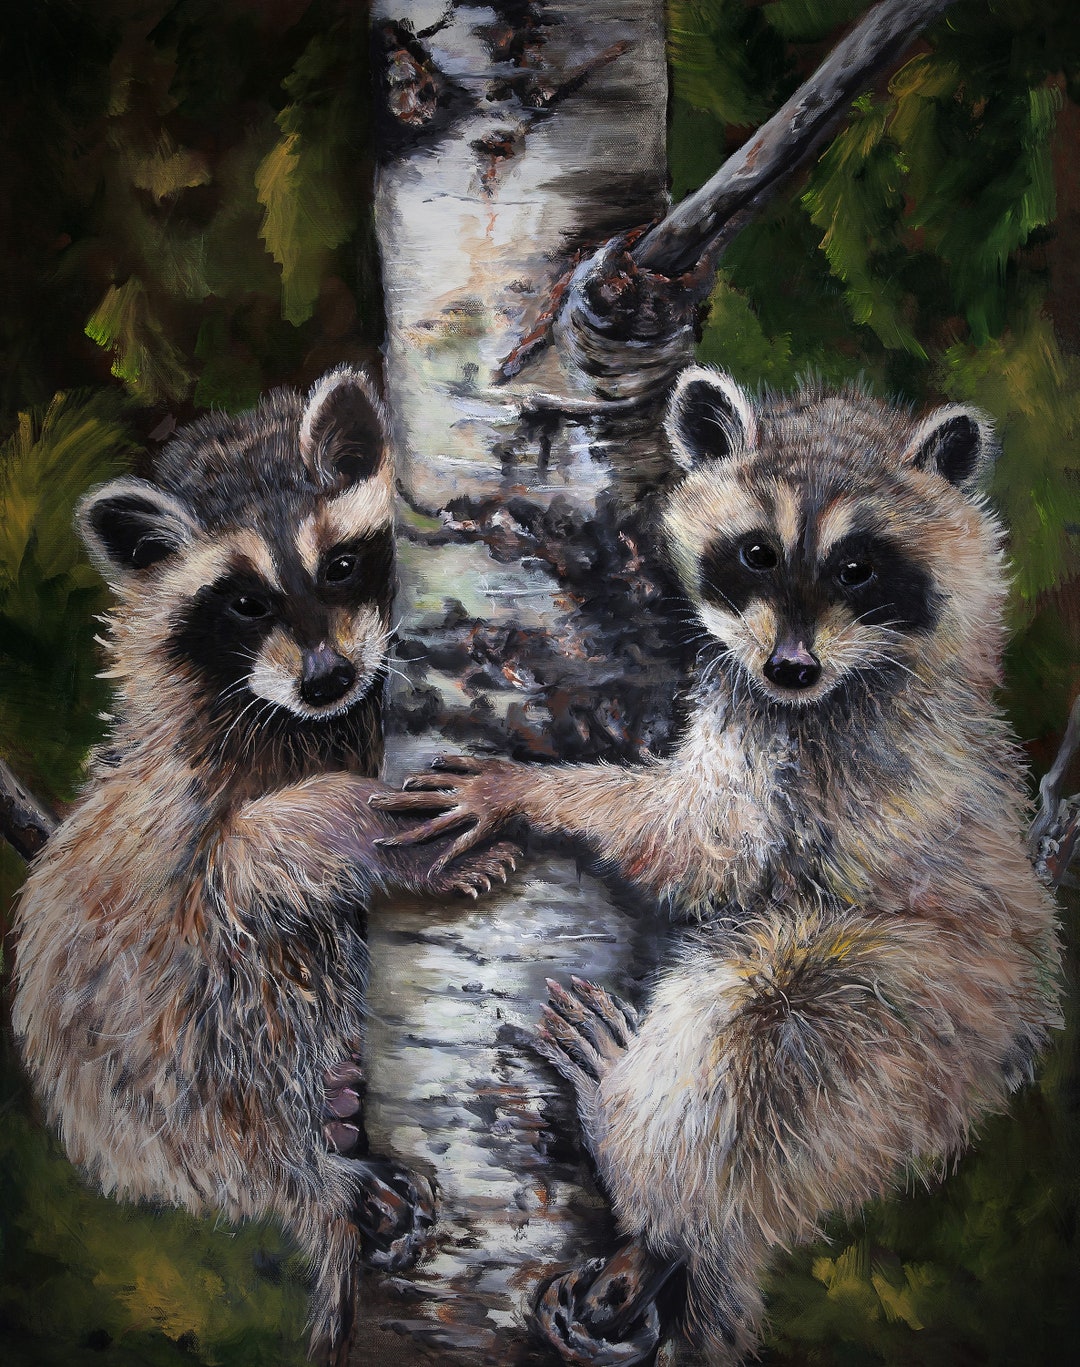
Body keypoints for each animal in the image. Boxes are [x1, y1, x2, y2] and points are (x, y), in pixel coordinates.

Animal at [10, 367, 516, 1367]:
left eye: (340, 565)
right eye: (245, 602)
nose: (325, 675)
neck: (321, 720)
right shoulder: (164, 800)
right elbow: (219, 865)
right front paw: (360, 821)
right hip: (150, 1069)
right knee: (203, 1014)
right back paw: (316, 1162)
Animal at [374, 366, 1064, 1361]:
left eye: (857, 568)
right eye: (757, 553)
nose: (791, 664)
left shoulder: (799, 736)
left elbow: (704, 839)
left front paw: (533, 791)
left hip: (904, 1008)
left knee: (744, 1019)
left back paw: (650, 1171)